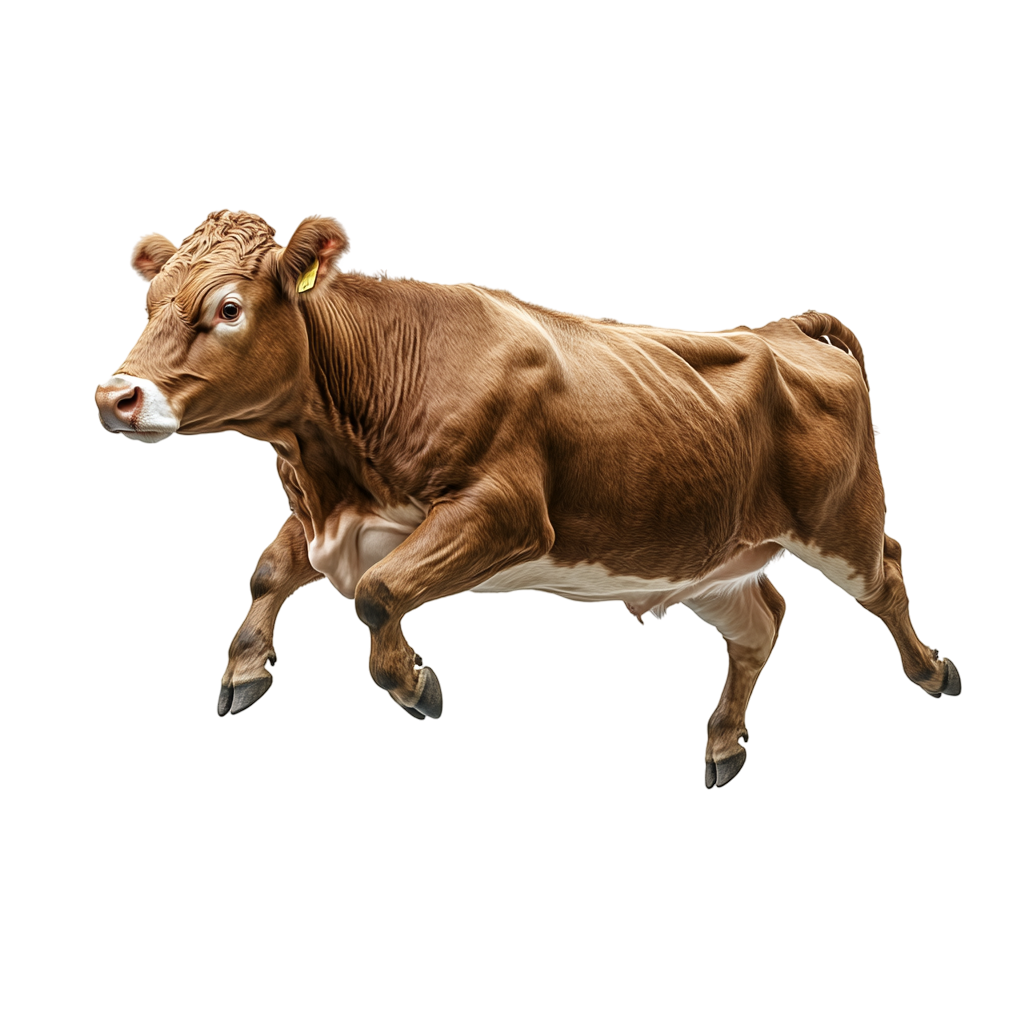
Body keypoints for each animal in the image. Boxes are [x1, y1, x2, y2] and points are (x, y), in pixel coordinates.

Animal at [95, 209, 960, 787]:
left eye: (227, 308)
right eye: (147, 305)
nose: (116, 396)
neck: (336, 465)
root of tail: (781, 328)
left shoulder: (504, 511)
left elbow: (378, 592)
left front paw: (413, 682)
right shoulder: (323, 517)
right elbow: (270, 572)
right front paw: (245, 670)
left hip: (841, 520)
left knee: (885, 574)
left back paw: (931, 672)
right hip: (705, 558)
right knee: (761, 624)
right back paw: (722, 742)